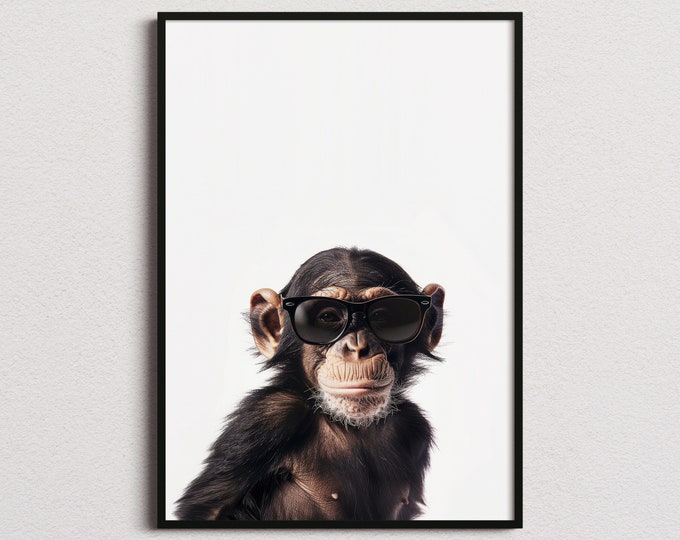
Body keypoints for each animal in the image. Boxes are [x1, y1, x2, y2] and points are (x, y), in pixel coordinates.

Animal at [175, 247, 445, 520]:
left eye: (383, 316)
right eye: (327, 317)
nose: (358, 347)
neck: (347, 424)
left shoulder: (414, 426)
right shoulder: (268, 415)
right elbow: (209, 511)